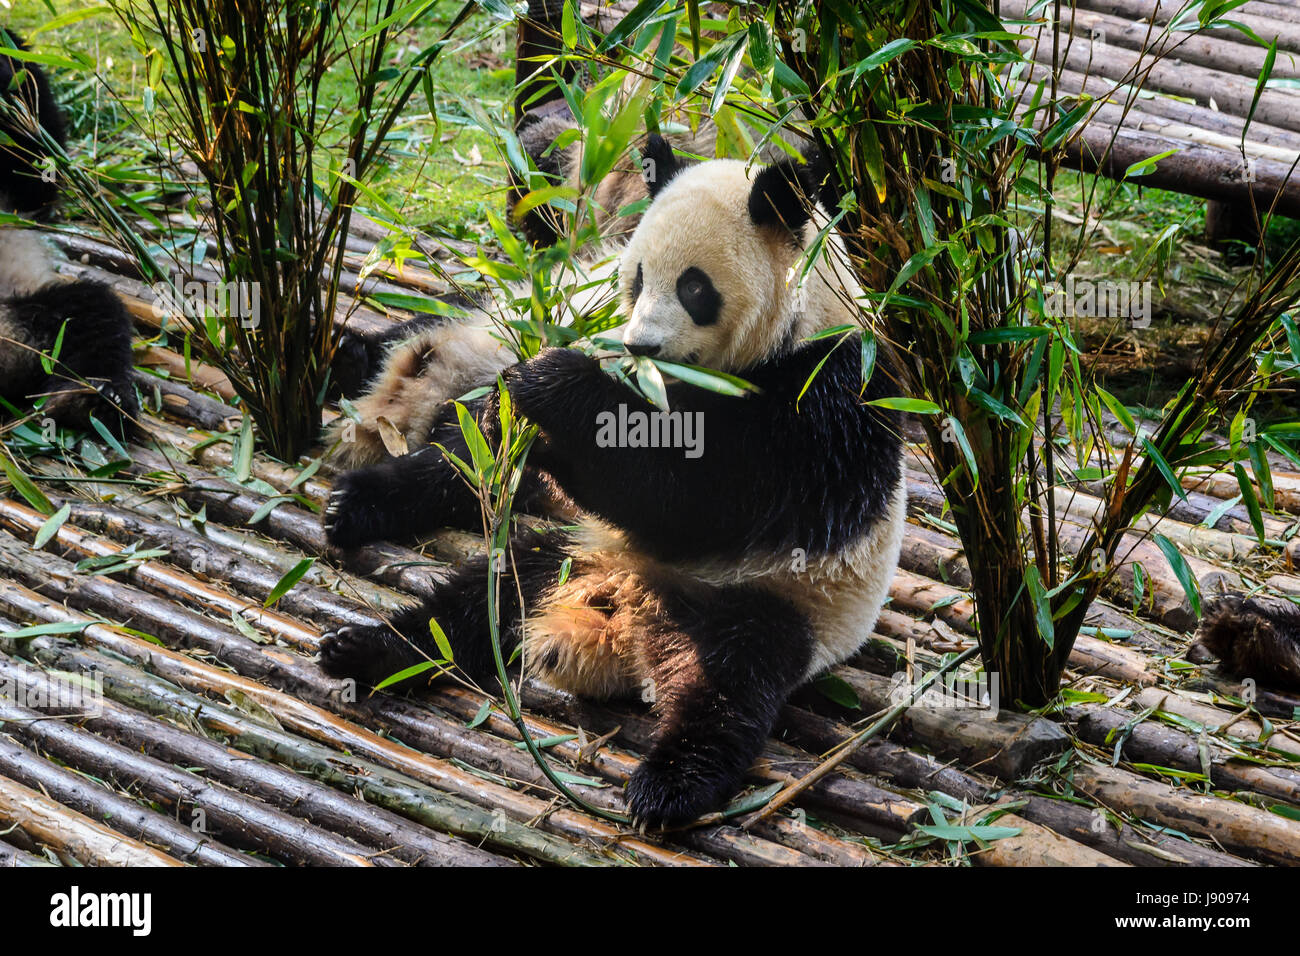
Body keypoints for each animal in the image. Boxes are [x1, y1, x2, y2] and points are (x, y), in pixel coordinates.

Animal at [317, 136, 907, 826]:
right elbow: (491, 458)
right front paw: (513, 412)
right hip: (566, 552)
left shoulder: (827, 395)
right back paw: (365, 642)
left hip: (779, 601)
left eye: (695, 287)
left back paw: (670, 785)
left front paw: (552, 387)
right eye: (638, 277)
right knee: (479, 601)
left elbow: (700, 498)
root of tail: (628, 602)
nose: (642, 346)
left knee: (731, 685)